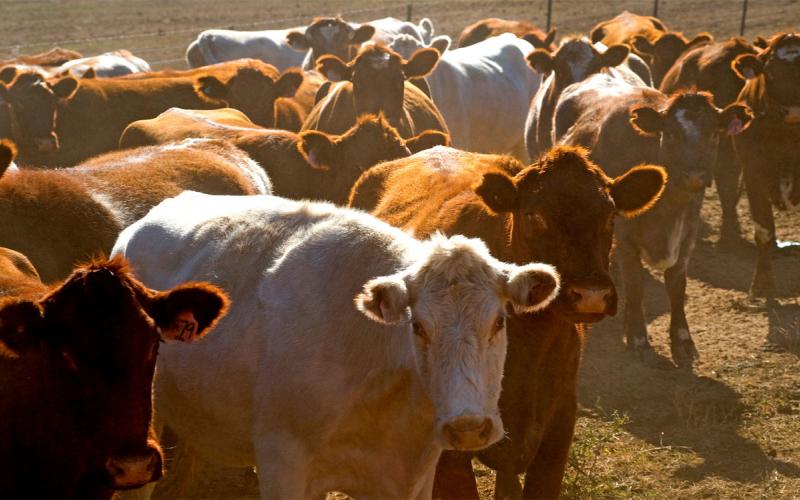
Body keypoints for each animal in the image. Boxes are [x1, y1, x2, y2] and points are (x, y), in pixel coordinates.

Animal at [554, 73, 752, 366]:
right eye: (669, 133)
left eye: (714, 133)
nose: (694, 176)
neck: (667, 209)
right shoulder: (624, 239)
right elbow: (635, 284)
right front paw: (638, 338)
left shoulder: (687, 235)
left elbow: (676, 286)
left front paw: (682, 340)